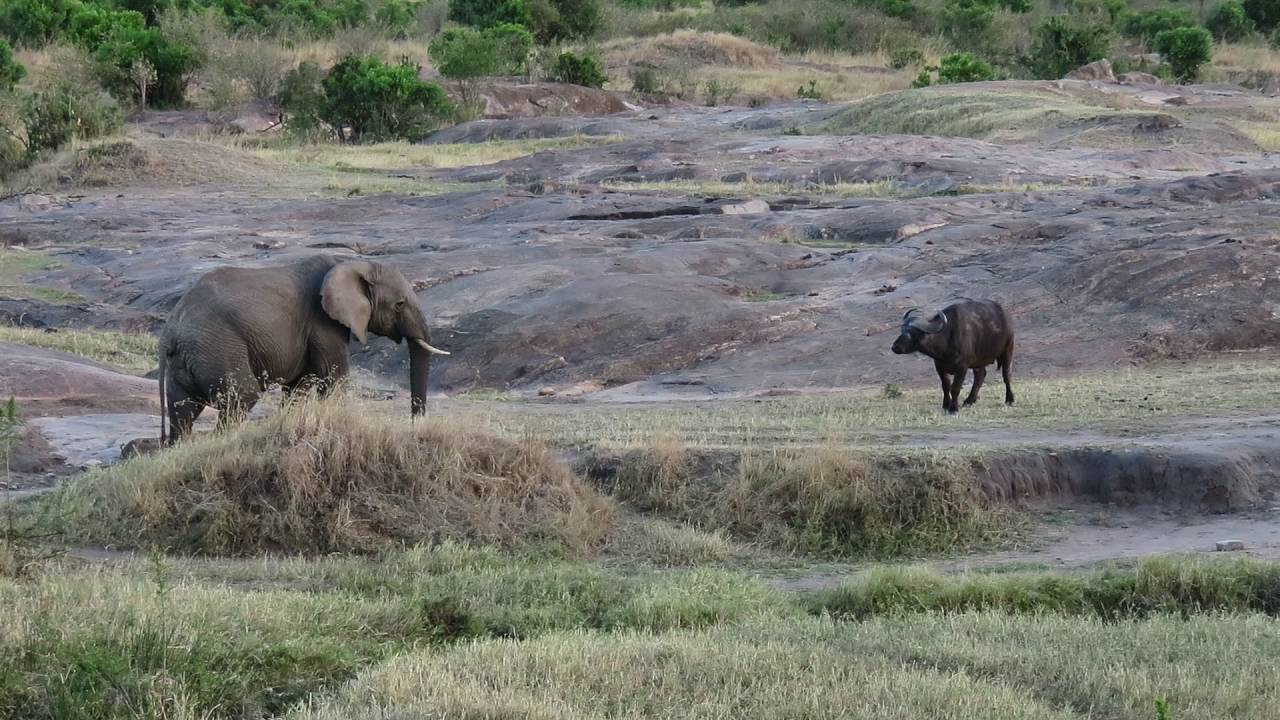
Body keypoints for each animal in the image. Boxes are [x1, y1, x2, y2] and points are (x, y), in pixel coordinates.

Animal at [157, 254, 449, 445]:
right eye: (399, 304)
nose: (415, 428)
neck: (353, 262)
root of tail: (169, 332)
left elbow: (299, 384)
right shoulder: (322, 321)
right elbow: (333, 376)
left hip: (188, 359)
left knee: (183, 411)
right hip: (217, 347)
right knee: (242, 395)